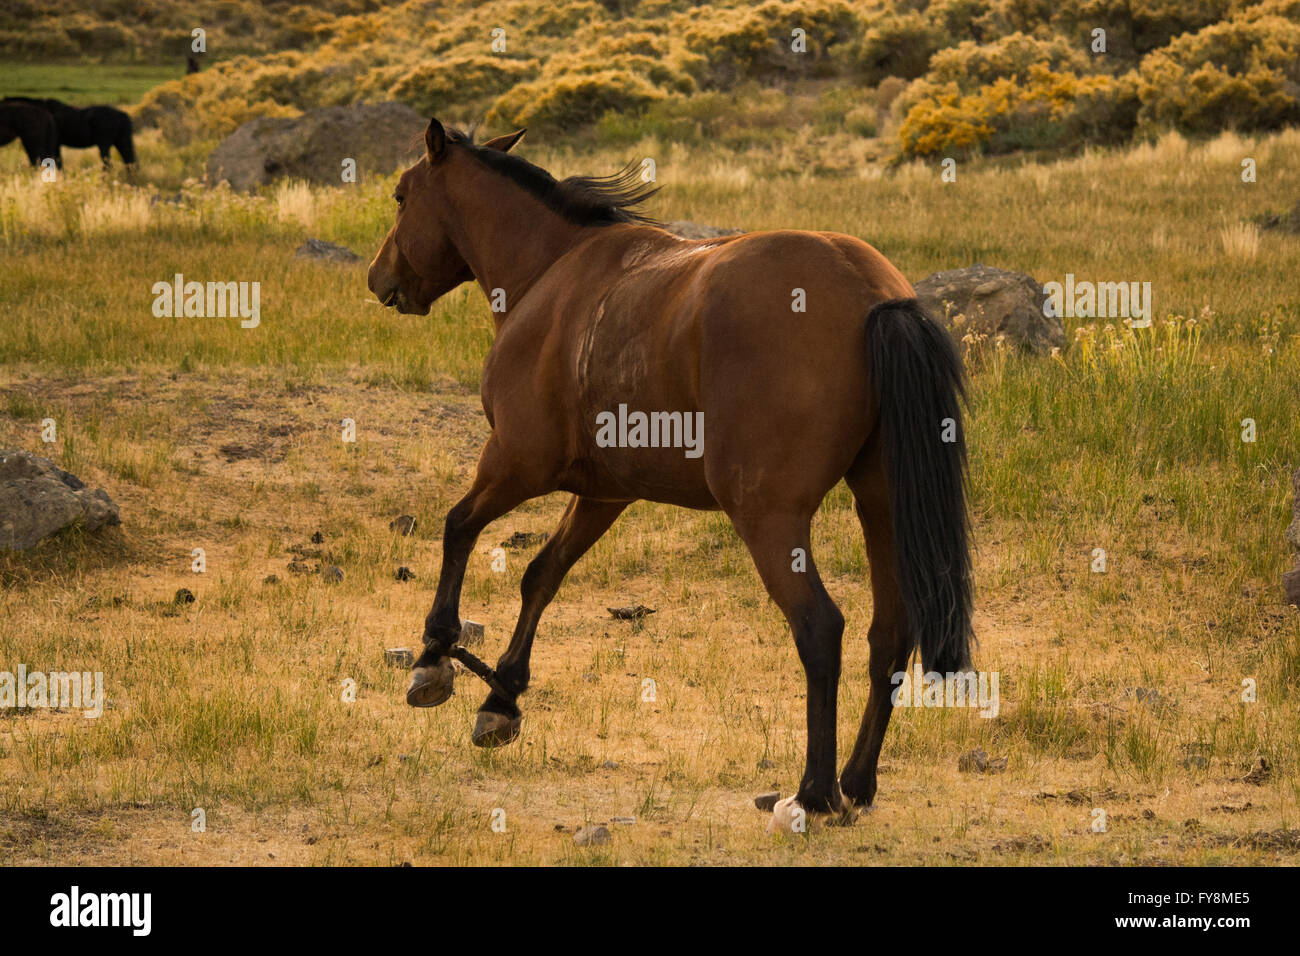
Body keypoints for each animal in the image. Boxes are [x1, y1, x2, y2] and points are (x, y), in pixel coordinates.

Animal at [1, 97, 136, 173]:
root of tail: (123, 114)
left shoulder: (53, 145)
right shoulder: (55, 145)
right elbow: (58, 163)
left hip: (105, 144)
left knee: (109, 164)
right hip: (121, 142)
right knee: (130, 162)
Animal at [367, 119, 974, 821]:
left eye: (401, 196)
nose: (378, 278)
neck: (553, 273)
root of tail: (872, 293)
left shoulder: (516, 461)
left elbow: (458, 527)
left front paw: (434, 656)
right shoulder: (603, 495)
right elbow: (541, 575)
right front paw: (503, 696)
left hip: (769, 519)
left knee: (821, 629)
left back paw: (814, 793)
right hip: (880, 505)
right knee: (889, 632)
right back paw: (857, 781)